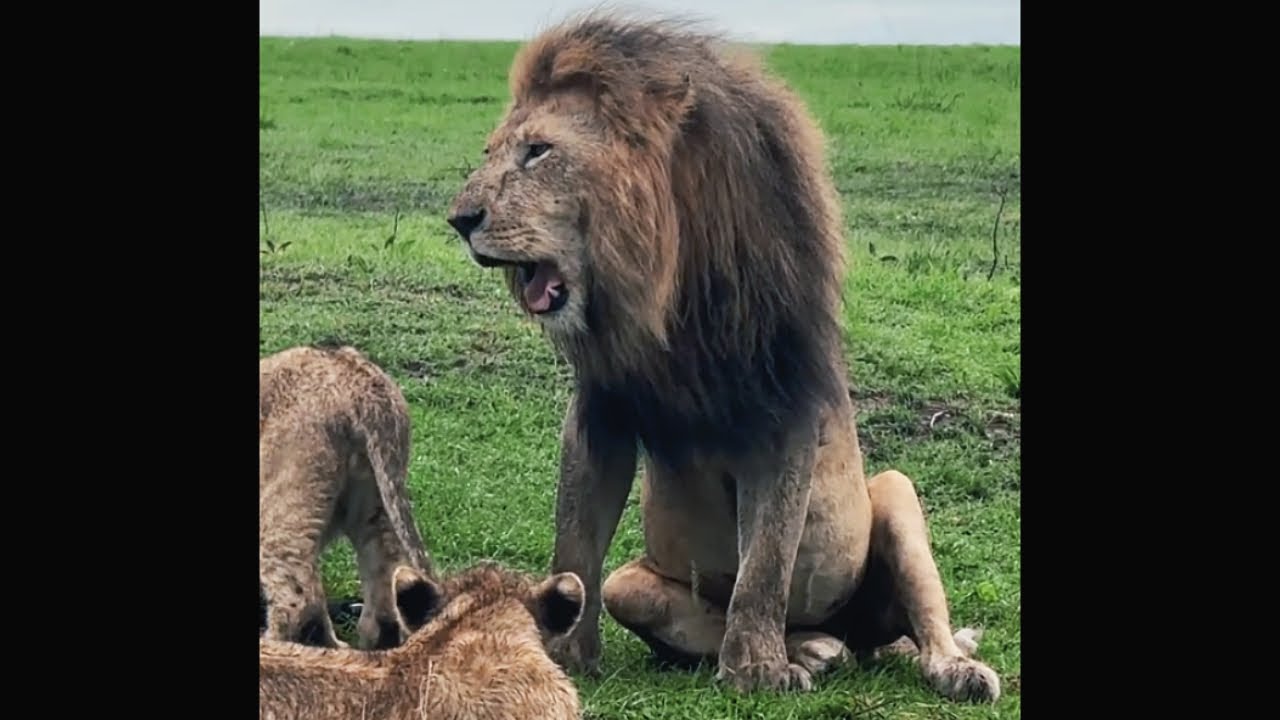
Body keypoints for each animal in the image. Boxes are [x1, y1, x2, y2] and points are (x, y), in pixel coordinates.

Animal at [442, 11, 1001, 702]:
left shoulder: (785, 414)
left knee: (921, 626)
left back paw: (951, 668)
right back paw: (815, 648)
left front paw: (756, 671)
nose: (460, 219)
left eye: (539, 151)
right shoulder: (601, 410)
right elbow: (575, 544)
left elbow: (765, 563)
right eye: (492, 152)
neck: (670, 293)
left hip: (894, 494)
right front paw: (564, 654)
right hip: (634, 584)